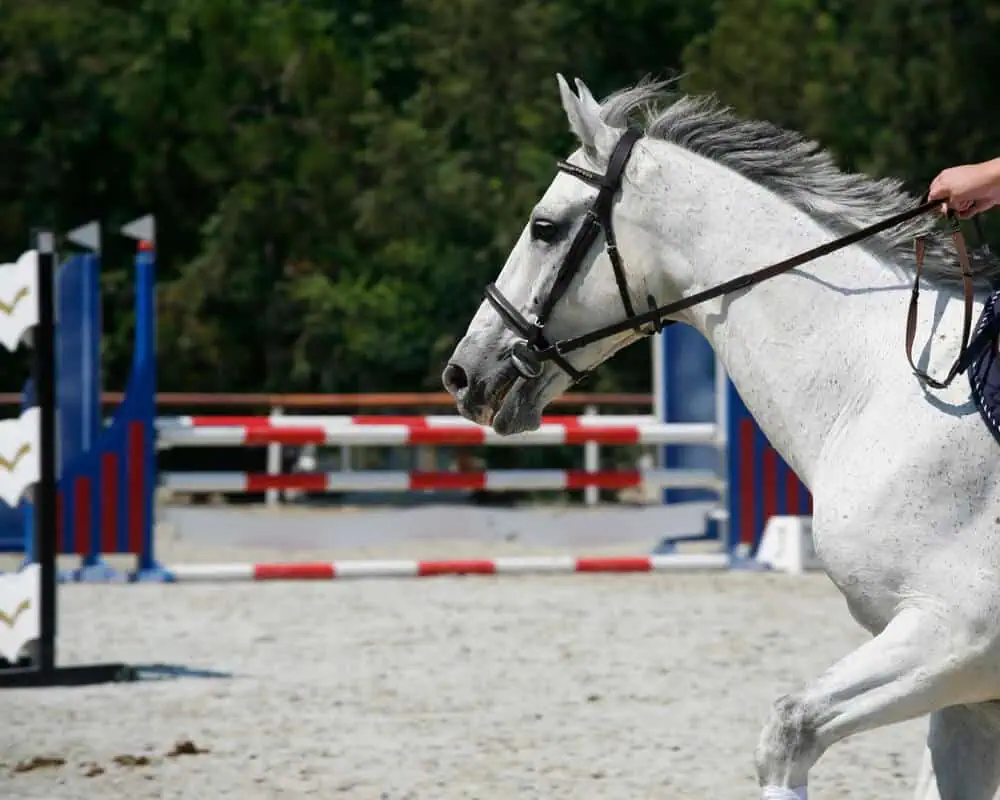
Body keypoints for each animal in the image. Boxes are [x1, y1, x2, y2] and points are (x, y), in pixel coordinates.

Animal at [442, 74, 1000, 799]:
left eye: (544, 227)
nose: (463, 375)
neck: (884, 386)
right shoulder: (968, 698)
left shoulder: (957, 637)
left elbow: (789, 730)